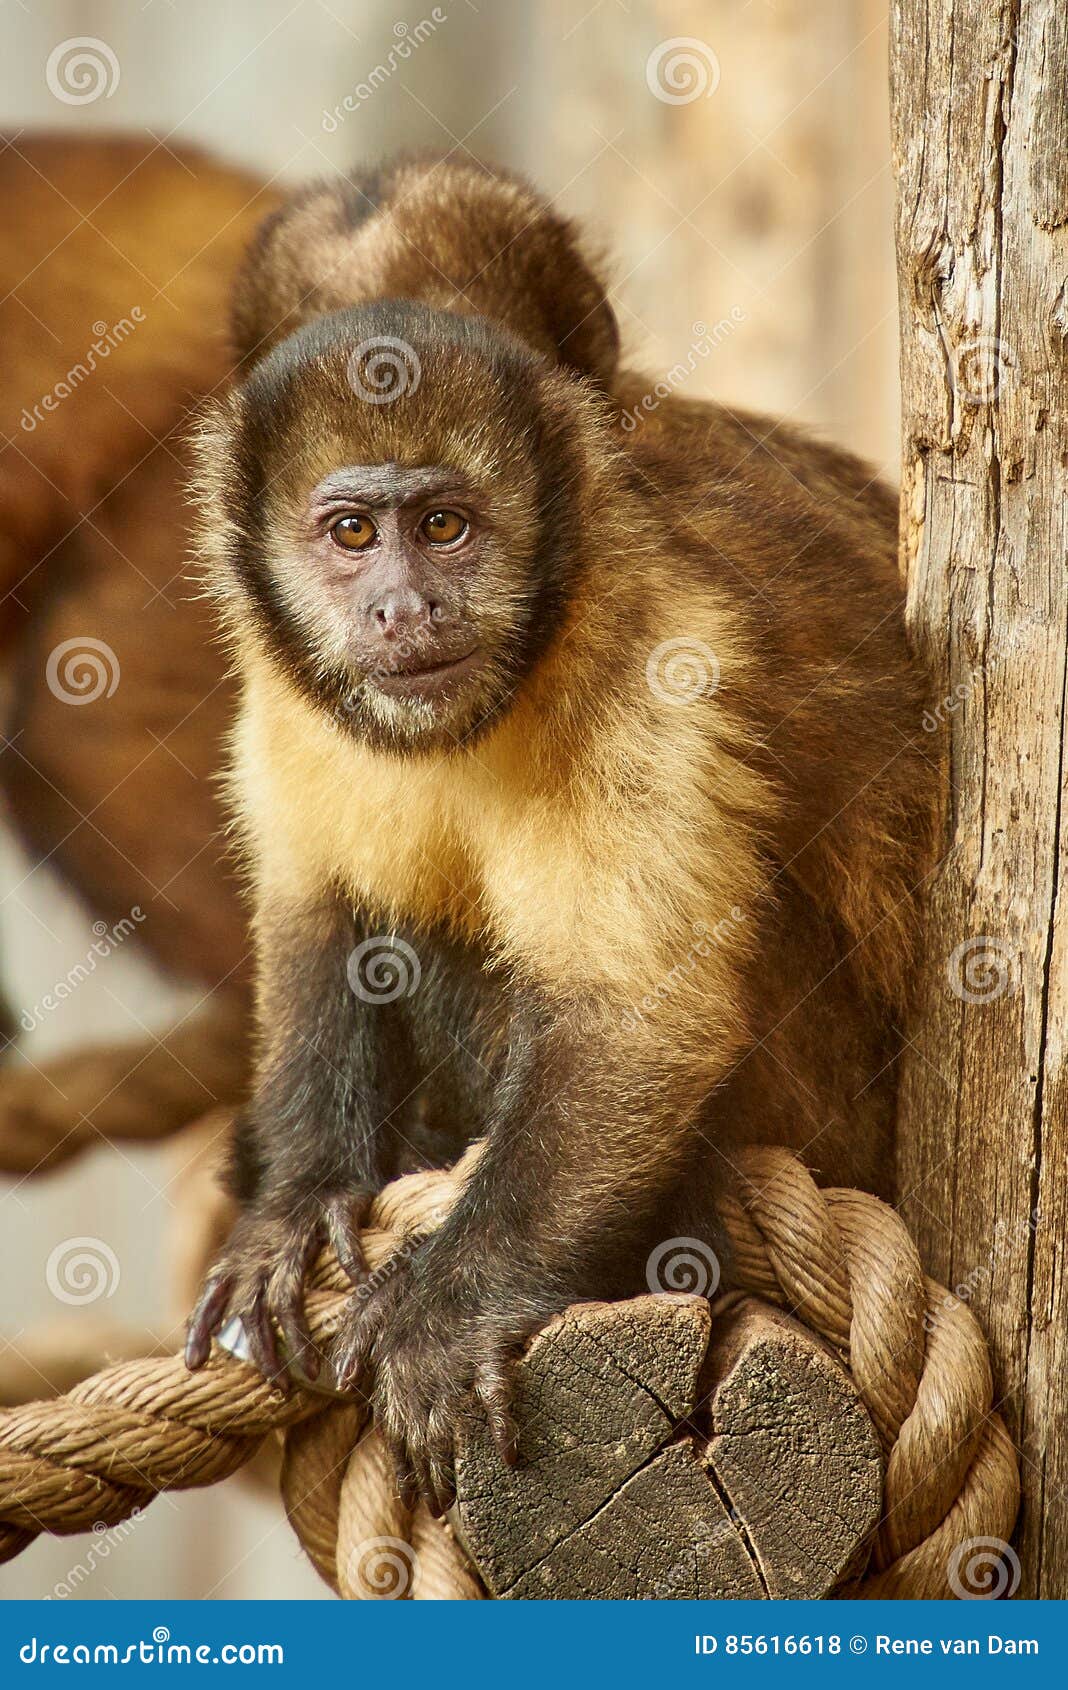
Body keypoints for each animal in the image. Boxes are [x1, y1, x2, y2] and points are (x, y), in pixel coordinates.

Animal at [185, 154, 935, 1517]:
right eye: (352, 534)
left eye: (443, 526)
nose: (401, 607)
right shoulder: (283, 669)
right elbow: (319, 913)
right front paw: (296, 1205)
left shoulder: (651, 630)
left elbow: (638, 1019)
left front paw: (446, 1310)